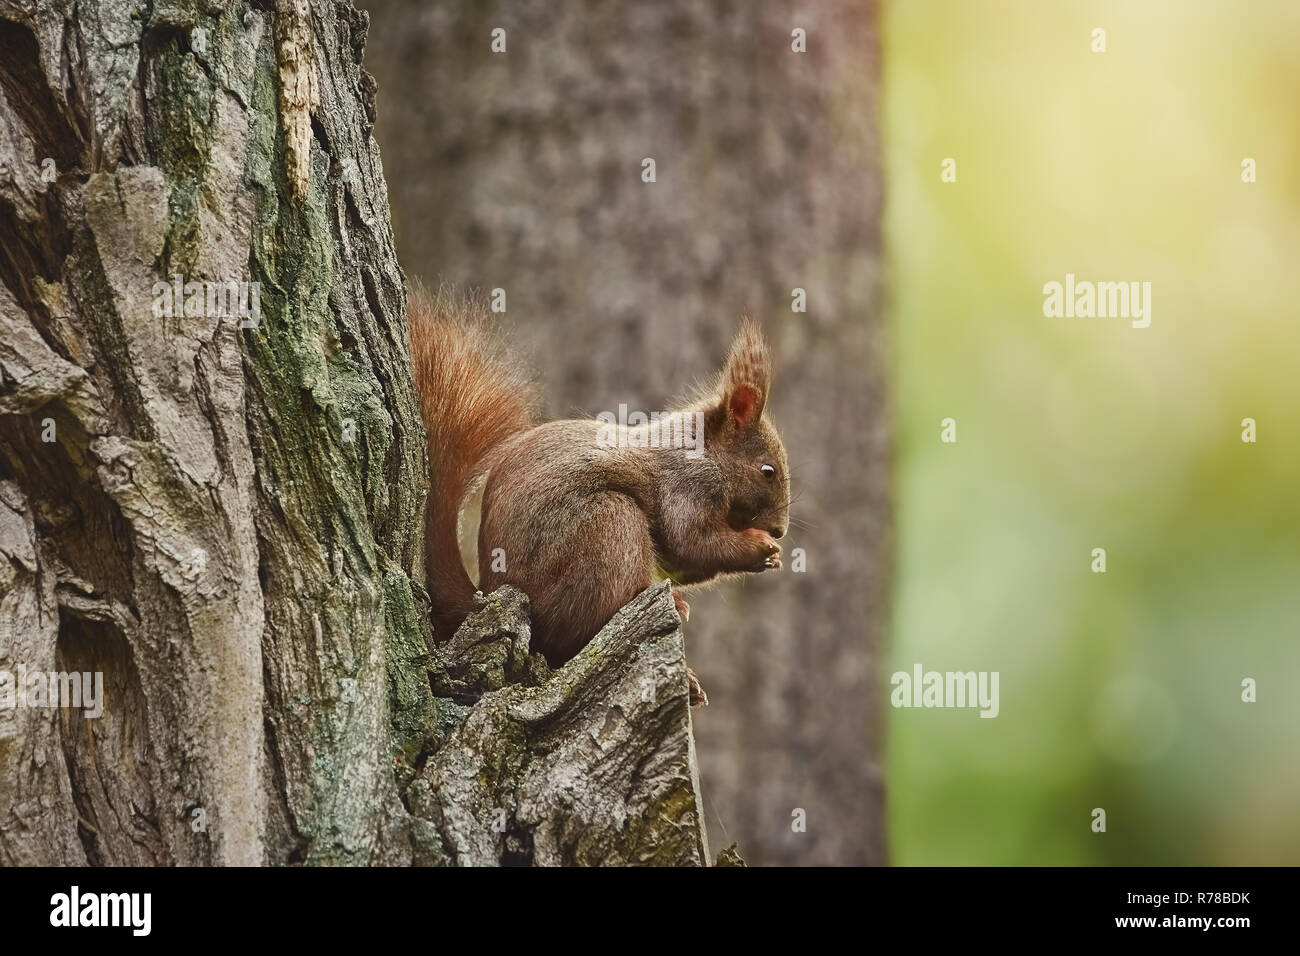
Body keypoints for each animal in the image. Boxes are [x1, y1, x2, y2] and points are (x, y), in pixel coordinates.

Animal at [408, 283, 790, 706]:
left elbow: (681, 559)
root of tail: (492, 590)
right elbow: (692, 542)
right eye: (768, 471)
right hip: (608, 524)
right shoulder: (685, 486)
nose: (781, 530)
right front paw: (759, 547)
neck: (700, 451)